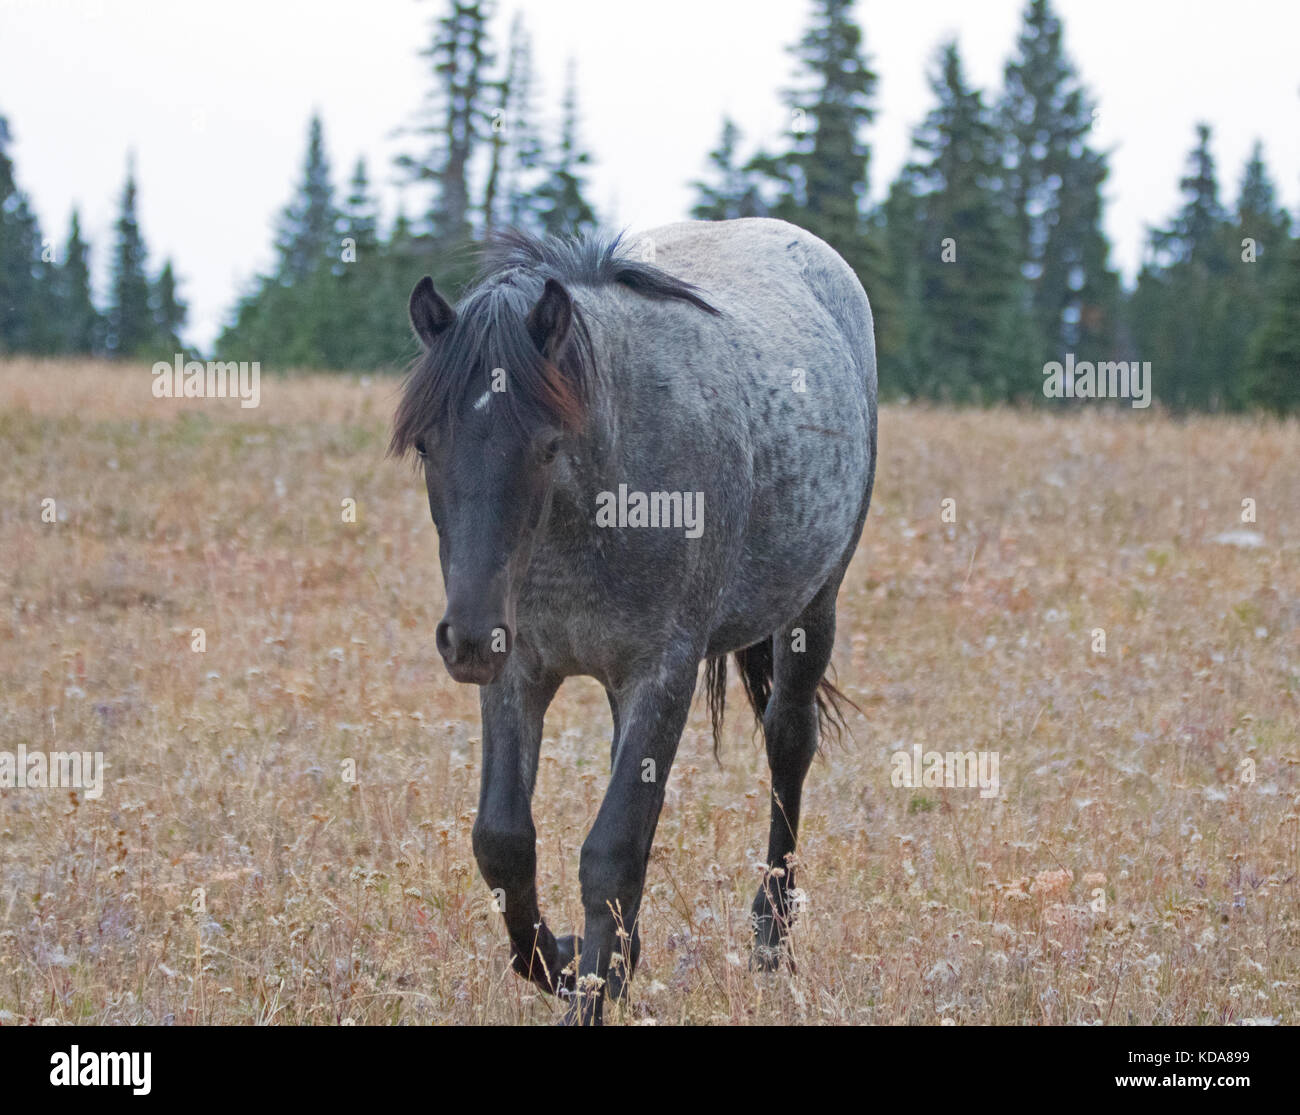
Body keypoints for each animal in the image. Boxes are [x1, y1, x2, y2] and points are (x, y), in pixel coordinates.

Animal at [390, 217, 878, 1024]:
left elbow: (612, 852)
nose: (465, 639)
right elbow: (503, 842)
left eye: (546, 446)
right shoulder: (519, 671)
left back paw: (770, 939)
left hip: (815, 607)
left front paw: (591, 987)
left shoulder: (662, 674)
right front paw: (567, 960)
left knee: (789, 742)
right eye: (428, 445)